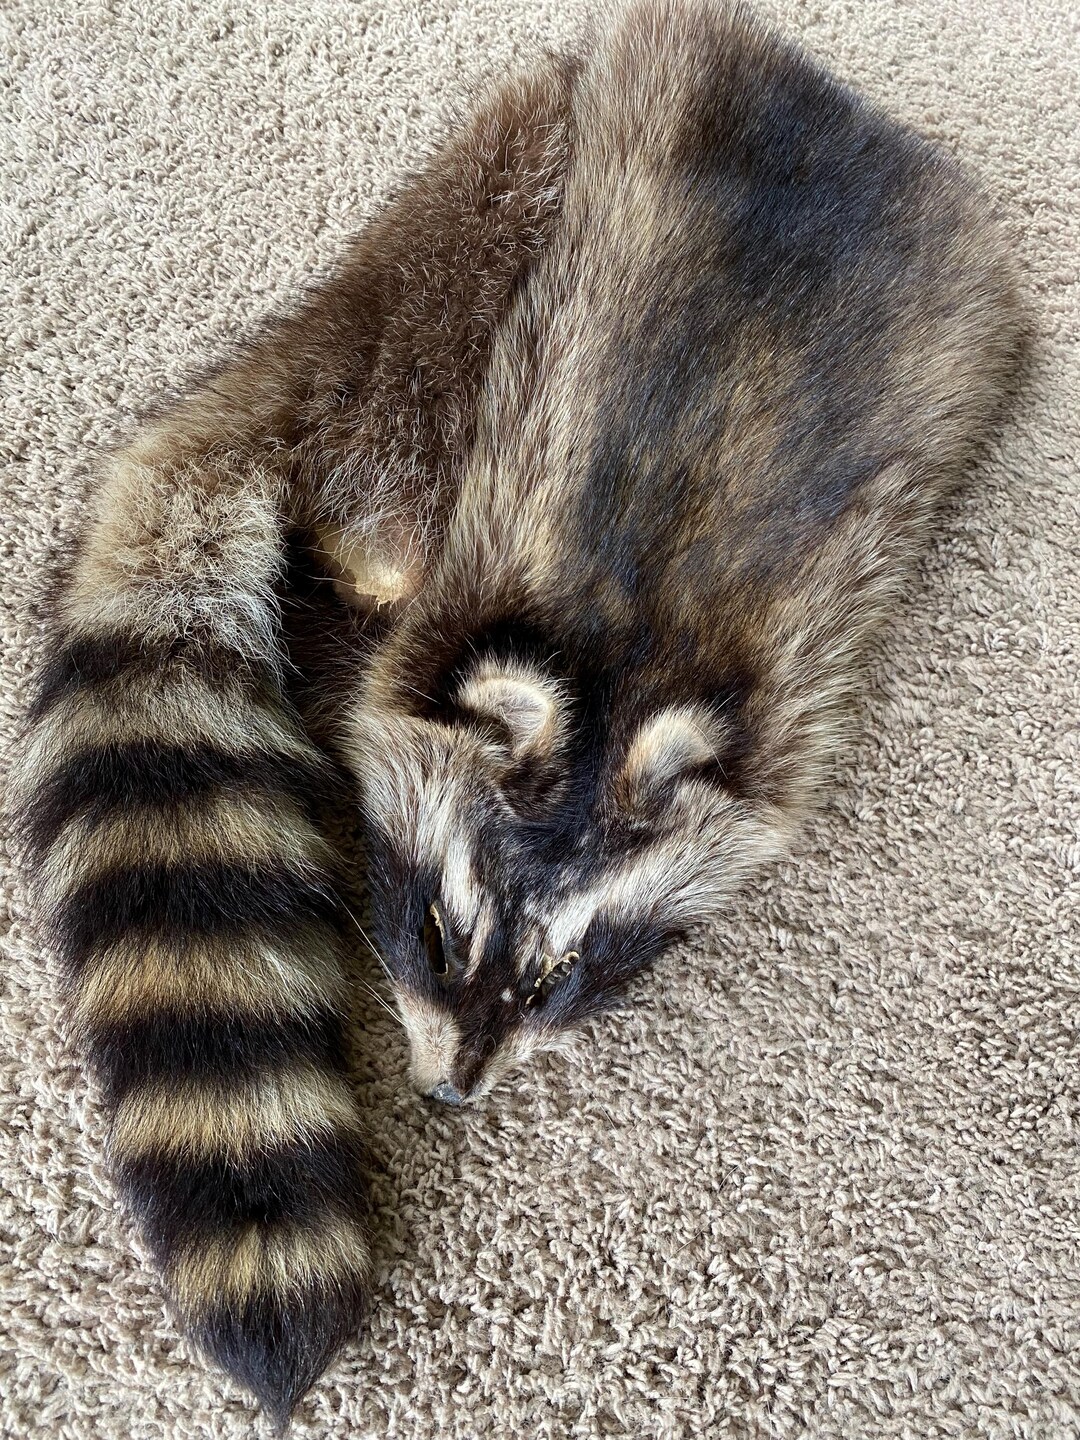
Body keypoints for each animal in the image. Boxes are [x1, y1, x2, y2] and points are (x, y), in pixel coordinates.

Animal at [343, 0, 1020, 1106]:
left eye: (561, 975)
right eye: (440, 938)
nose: (449, 1093)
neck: (623, 674)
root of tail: (840, 107)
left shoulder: (790, 712)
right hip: (643, 95)